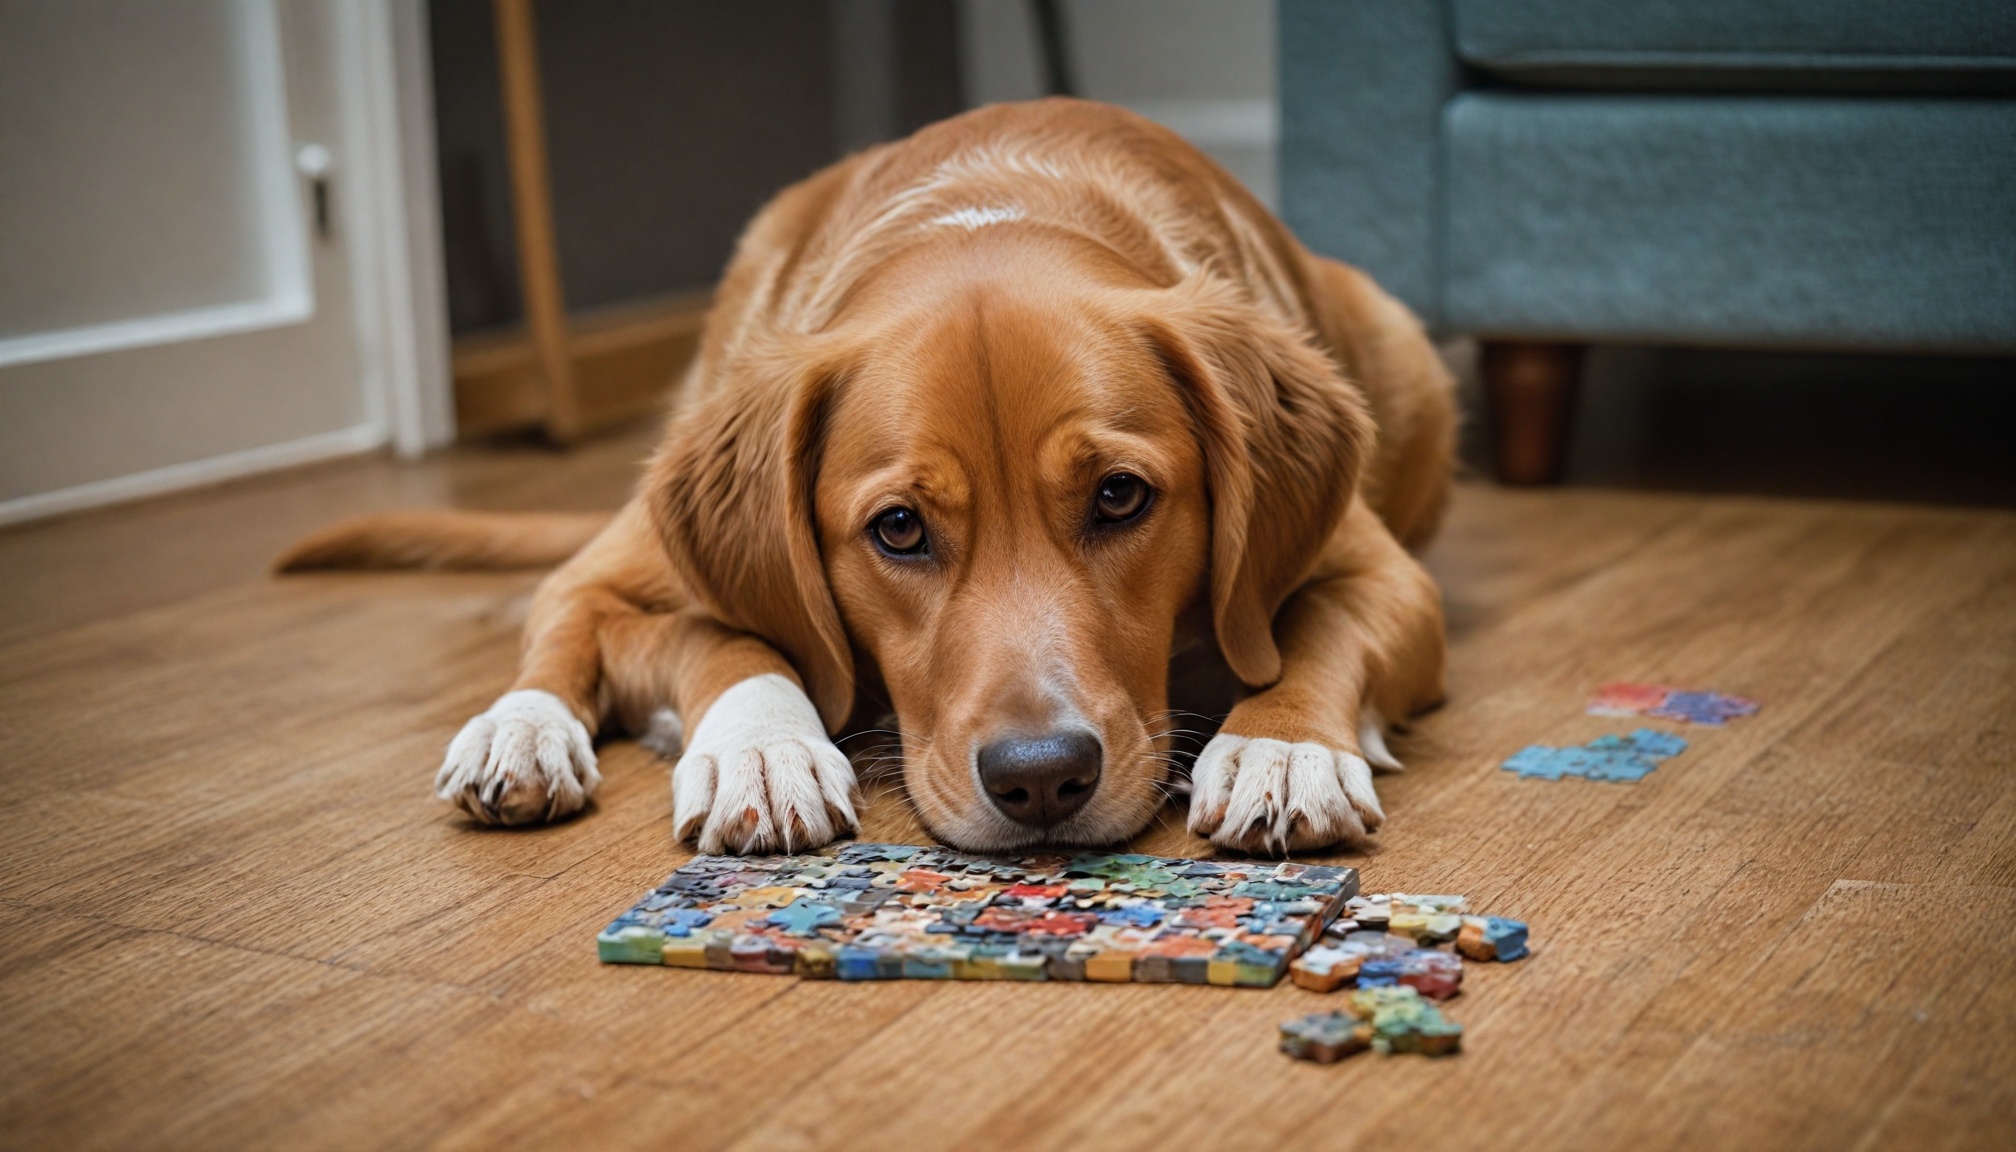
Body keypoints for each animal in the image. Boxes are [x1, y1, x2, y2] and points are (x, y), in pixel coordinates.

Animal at [280, 96, 1451, 855]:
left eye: (1121, 496)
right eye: (897, 529)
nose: (1041, 778)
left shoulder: (1389, 578)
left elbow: (1314, 631)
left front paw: (1281, 749)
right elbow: (732, 636)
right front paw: (764, 748)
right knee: (565, 606)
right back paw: (519, 730)